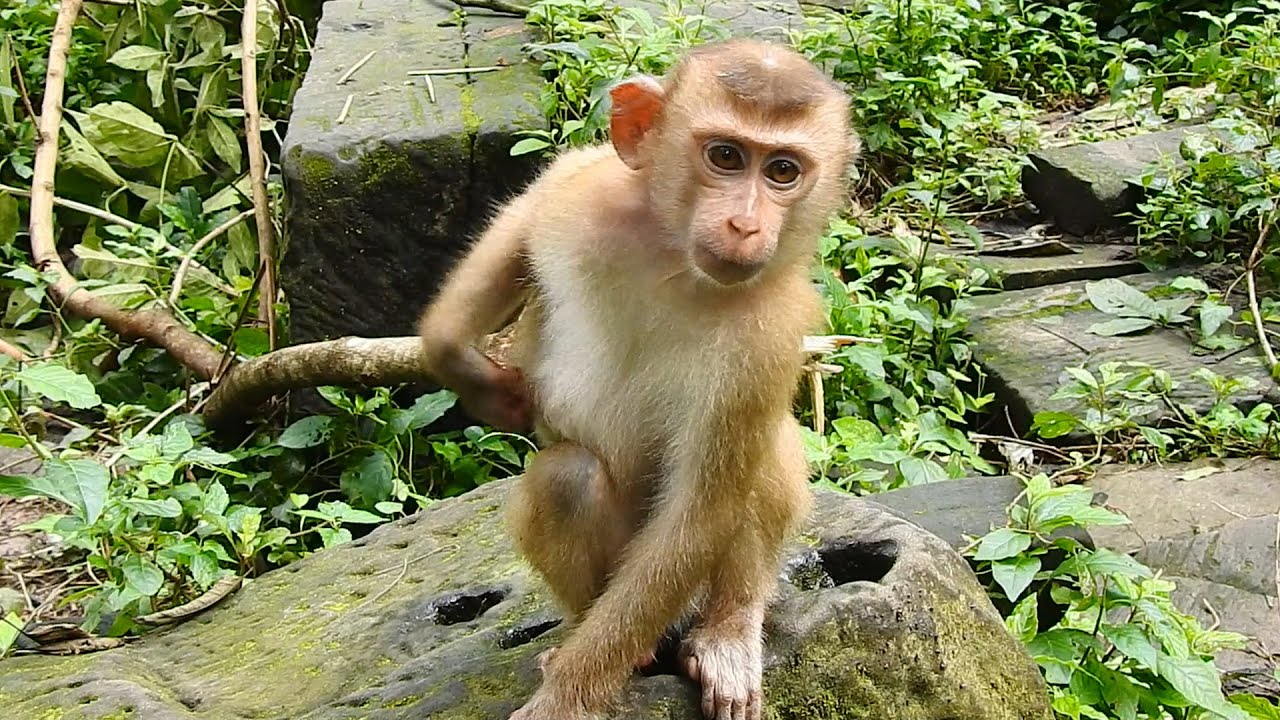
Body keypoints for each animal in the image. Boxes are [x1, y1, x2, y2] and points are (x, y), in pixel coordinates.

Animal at [418, 38, 859, 720]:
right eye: (725, 156)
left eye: (783, 171)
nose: (746, 226)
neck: (674, 262)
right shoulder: (590, 192)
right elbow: (528, 211)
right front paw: (464, 367)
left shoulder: (770, 333)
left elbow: (700, 512)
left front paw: (564, 700)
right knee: (566, 479)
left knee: (763, 458)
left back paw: (728, 628)